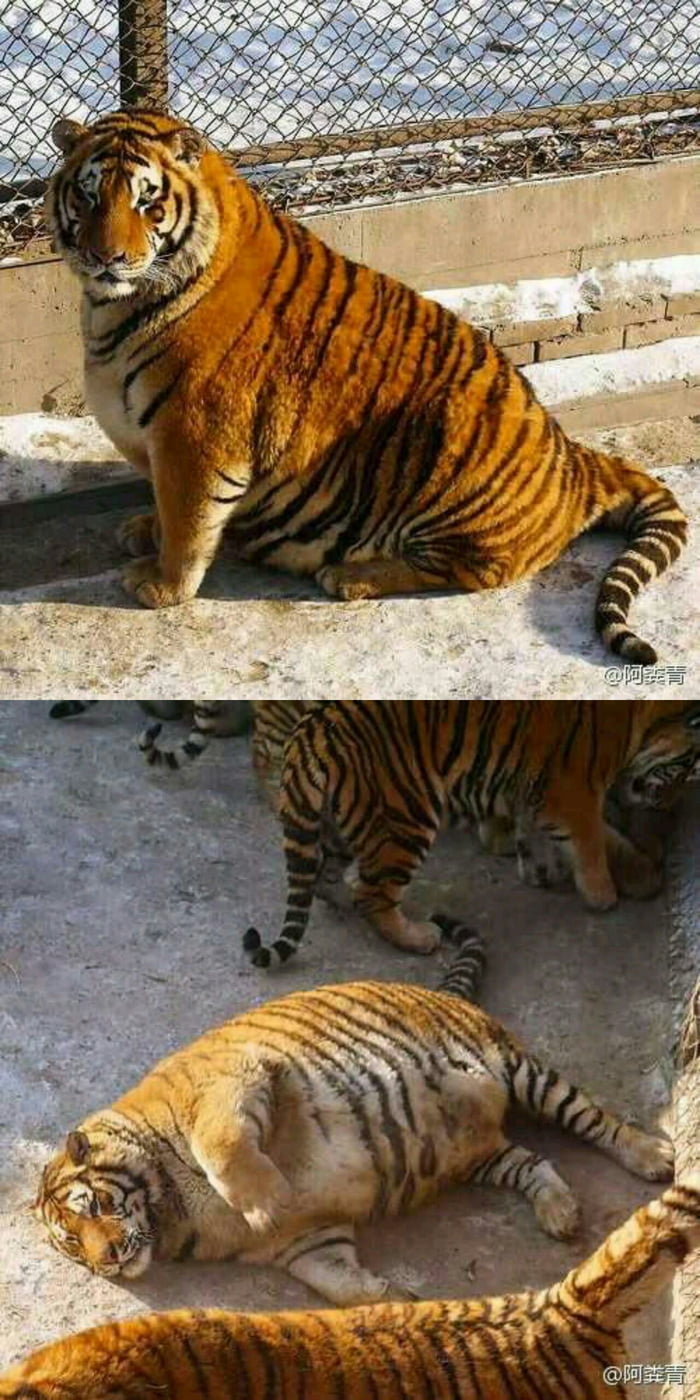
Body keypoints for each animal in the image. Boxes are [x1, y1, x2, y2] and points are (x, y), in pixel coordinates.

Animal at [35, 924, 673, 1306]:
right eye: (74, 1245)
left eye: (93, 1207)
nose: (108, 1261)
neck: (171, 1213)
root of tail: (442, 991)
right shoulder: (305, 1242)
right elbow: (338, 1285)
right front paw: (392, 1298)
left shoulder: (233, 1082)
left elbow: (224, 1146)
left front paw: (267, 1199)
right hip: (481, 1155)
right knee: (533, 1162)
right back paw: (561, 1213)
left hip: (521, 1072)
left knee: (594, 1119)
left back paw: (655, 1156)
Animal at [46, 108, 687, 664]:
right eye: (88, 195)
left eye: (147, 201)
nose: (106, 256)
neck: (112, 308)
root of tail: (574, 459)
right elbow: (163, 502)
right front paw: (142, 531)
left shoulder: (195, 438)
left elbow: (187, 520)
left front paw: (161, 585)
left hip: (450, 446)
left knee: (473, 572)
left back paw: (349, 575)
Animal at [242, 699, 700, 968]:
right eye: (687, 768)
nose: (671, 804)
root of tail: (307, 737)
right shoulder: (571, 791)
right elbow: (595, 843)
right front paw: (609, 893)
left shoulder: (531, 793)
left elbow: (537, 838)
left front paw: (540, 872)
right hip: (404, 818)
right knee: (373, 895)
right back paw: (419, 937)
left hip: (339, 824)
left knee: (327, 878)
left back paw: (342, 901)